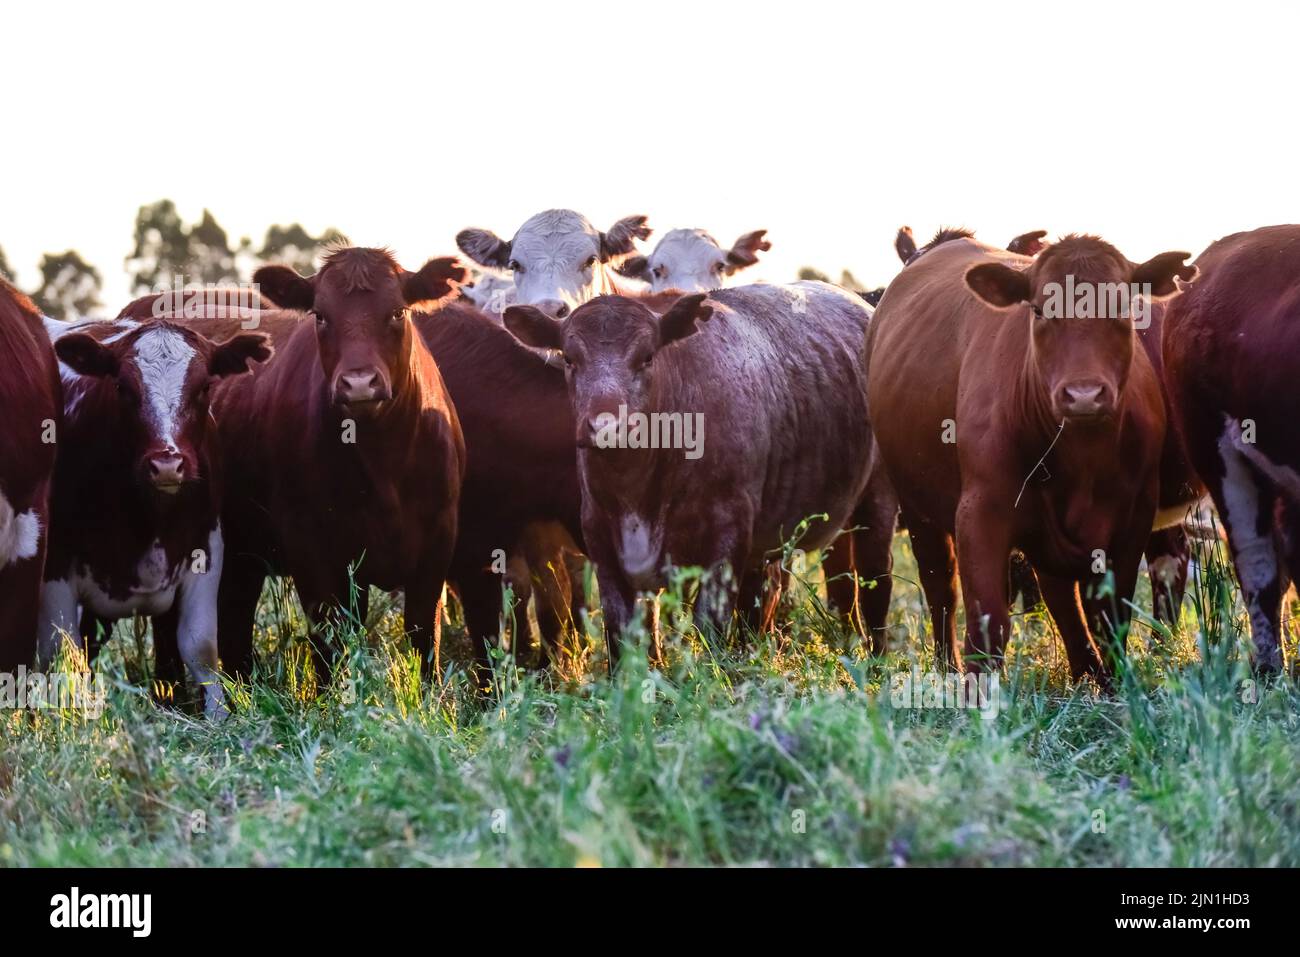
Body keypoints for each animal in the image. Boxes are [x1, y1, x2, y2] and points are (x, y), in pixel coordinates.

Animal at [38, 314, 271, 717]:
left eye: (205, 386)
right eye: (122, 386)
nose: (166, 464)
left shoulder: (207, 549)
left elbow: (201, 647)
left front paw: (219, 716)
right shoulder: (55, 565)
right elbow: (61, 652)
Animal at [212, 248, 466, 682]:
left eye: (397, 311)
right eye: (320, 315)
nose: (359, 383)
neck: (384, 466)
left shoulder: (436, 543)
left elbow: (423, 635)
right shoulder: (310, 546)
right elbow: (329, 641)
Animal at [501, 281, 886, 668]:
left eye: (647, 357)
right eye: (569, 359)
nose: (606, 425)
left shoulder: (727, 536)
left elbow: (709, 627)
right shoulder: (600, 540)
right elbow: (624, 635)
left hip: (877, 501)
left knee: (874, 582)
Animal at [868, 234, 1194, 684]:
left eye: (1122, 305)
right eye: (1039, 309)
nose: (1084, 394)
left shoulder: (1133, 518)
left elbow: (1110, 615)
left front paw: (1114, 685)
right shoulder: (979, 512)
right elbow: (989, 623)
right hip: (918, 506)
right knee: (941, 586)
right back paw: (951, 667)